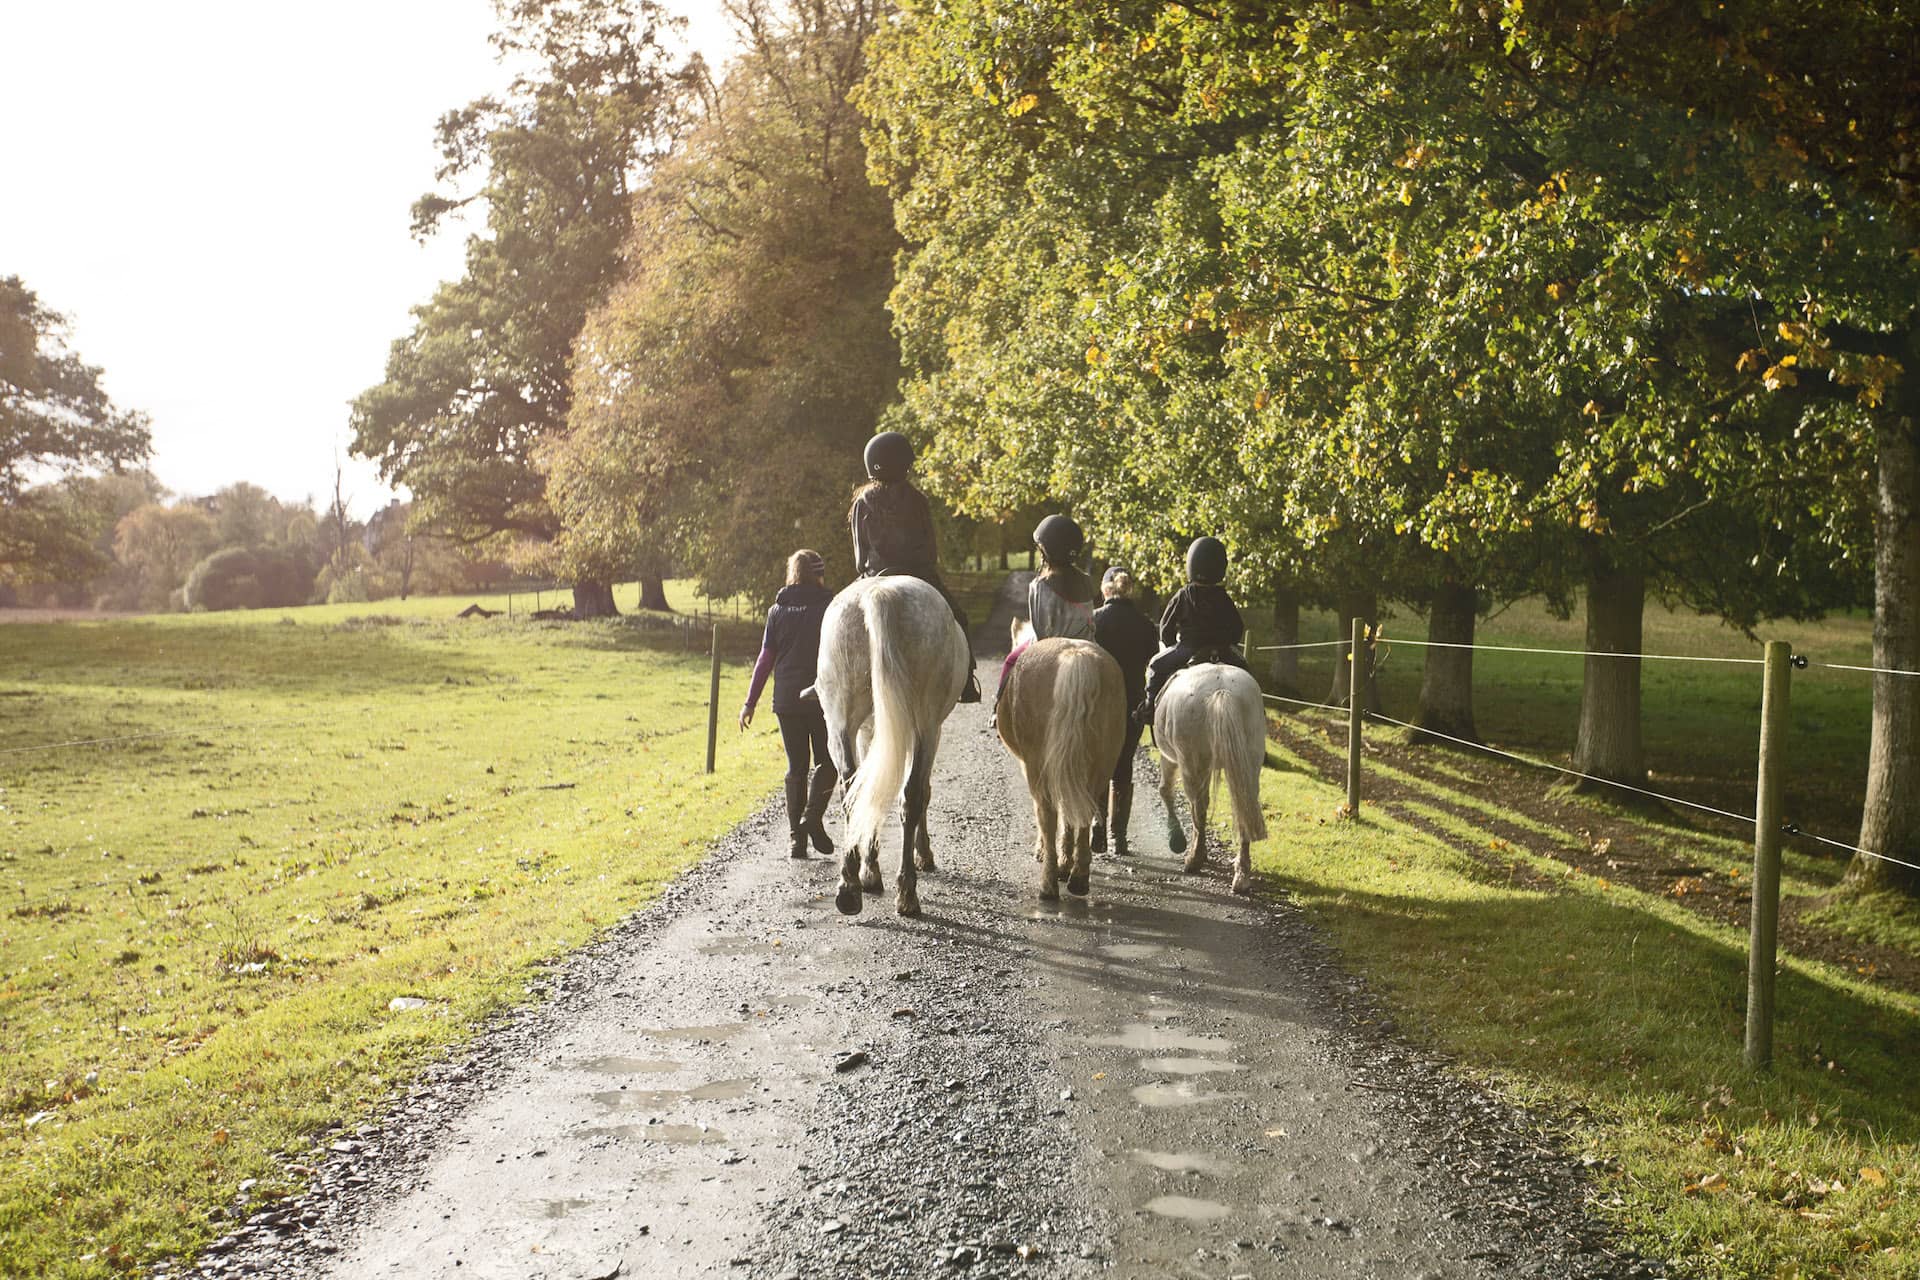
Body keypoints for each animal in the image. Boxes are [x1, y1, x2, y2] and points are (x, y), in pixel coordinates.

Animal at [815, 575, 970, 917]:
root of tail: (878, 594)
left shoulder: (871, 732)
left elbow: (870, 794)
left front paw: (869, 872)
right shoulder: (926, 732)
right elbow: (921, 793)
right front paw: (923, 854)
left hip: (840, 725)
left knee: (851, 791)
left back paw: (849, 888)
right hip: (926, 726)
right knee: (911, 796)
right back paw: (907, 893)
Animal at [997, 624, 1128, 900]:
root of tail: (1076, 657)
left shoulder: (1031, 765)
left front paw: (1046, 854)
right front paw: (1065, 863)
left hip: (1038, 766)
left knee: (1047, 812)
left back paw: (1048, 885)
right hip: (1099, 764)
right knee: (1085, 812)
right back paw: (1078, 878)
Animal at [1152, 662, 1269, 896]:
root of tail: (1222, 688)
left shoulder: (1168, 758)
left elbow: (1165, 790)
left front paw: (1177, 840)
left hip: (1192, 764)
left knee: (1198, 807)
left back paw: (1194, 859)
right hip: (1249, 765)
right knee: (1243, 806)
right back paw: (1241, 875)